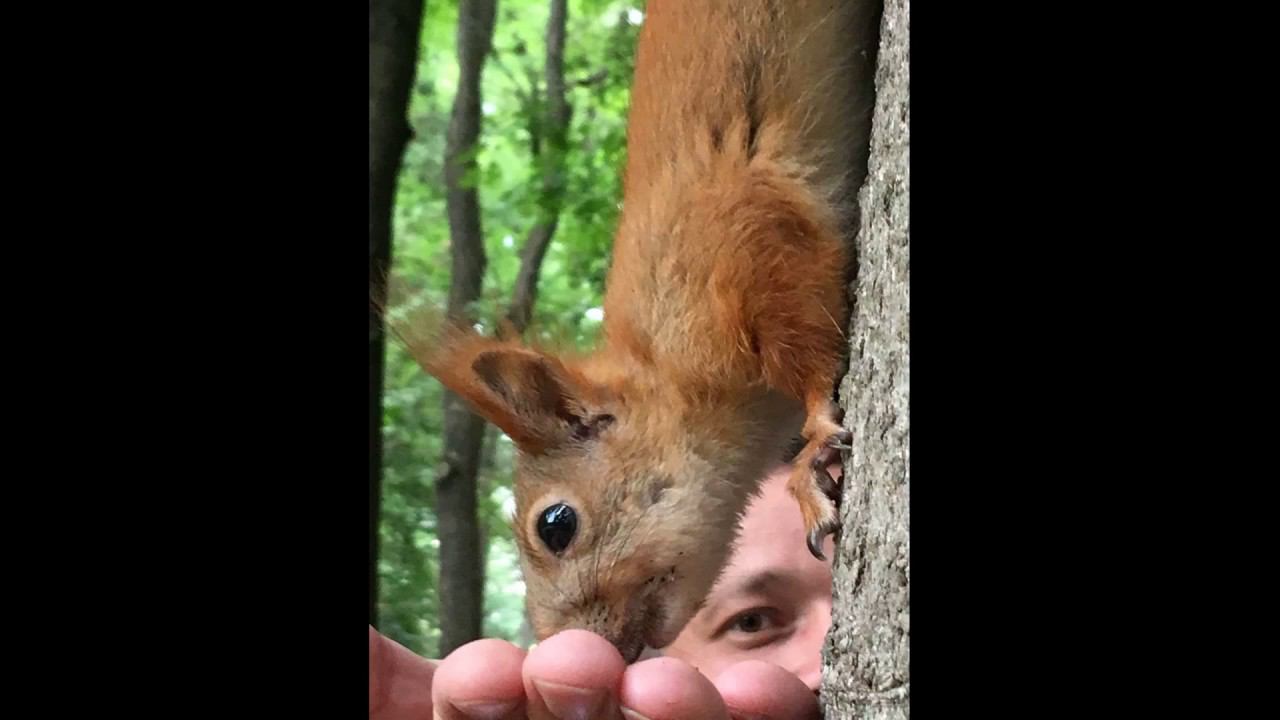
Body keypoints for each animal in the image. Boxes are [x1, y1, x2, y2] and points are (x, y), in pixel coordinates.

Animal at [397, 0, 879, 663]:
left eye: (556, 525)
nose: (561, 644)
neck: (661, 356)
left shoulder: (748, 237)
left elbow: (807, 339)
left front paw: (812, 456)